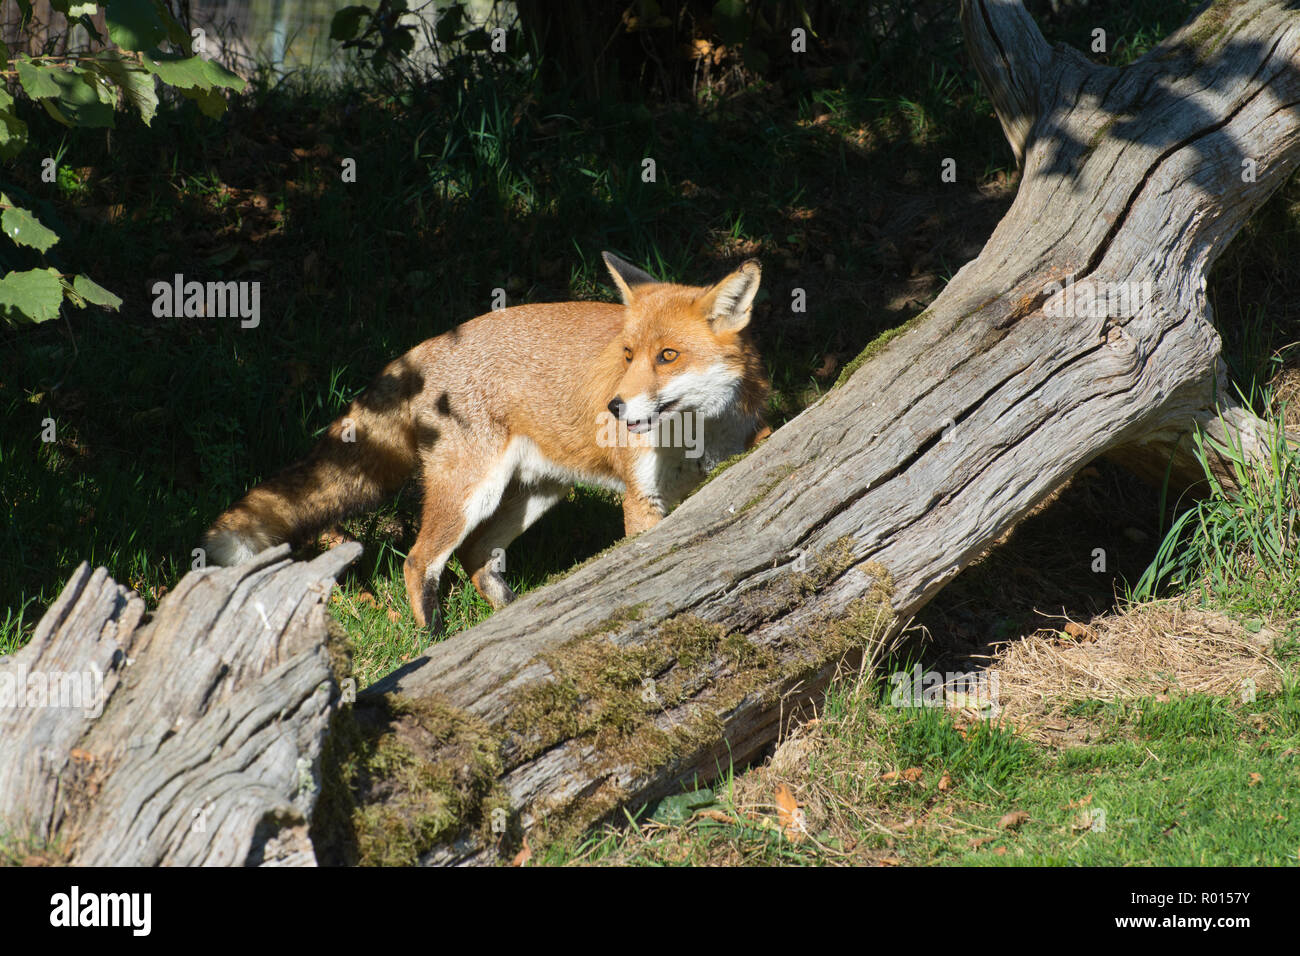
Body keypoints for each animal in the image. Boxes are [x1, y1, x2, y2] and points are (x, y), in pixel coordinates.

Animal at [202, 252, 770, 631]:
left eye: (668, 356)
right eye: (628, 355)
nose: (614, 408)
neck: (696, 439)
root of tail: (423, 347)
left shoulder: (734, 458)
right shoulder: (642, 498)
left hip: (536, 492)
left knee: (476, 555)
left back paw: (511, 616)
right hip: (471, 492)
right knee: (420, 560)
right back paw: (434, 639)